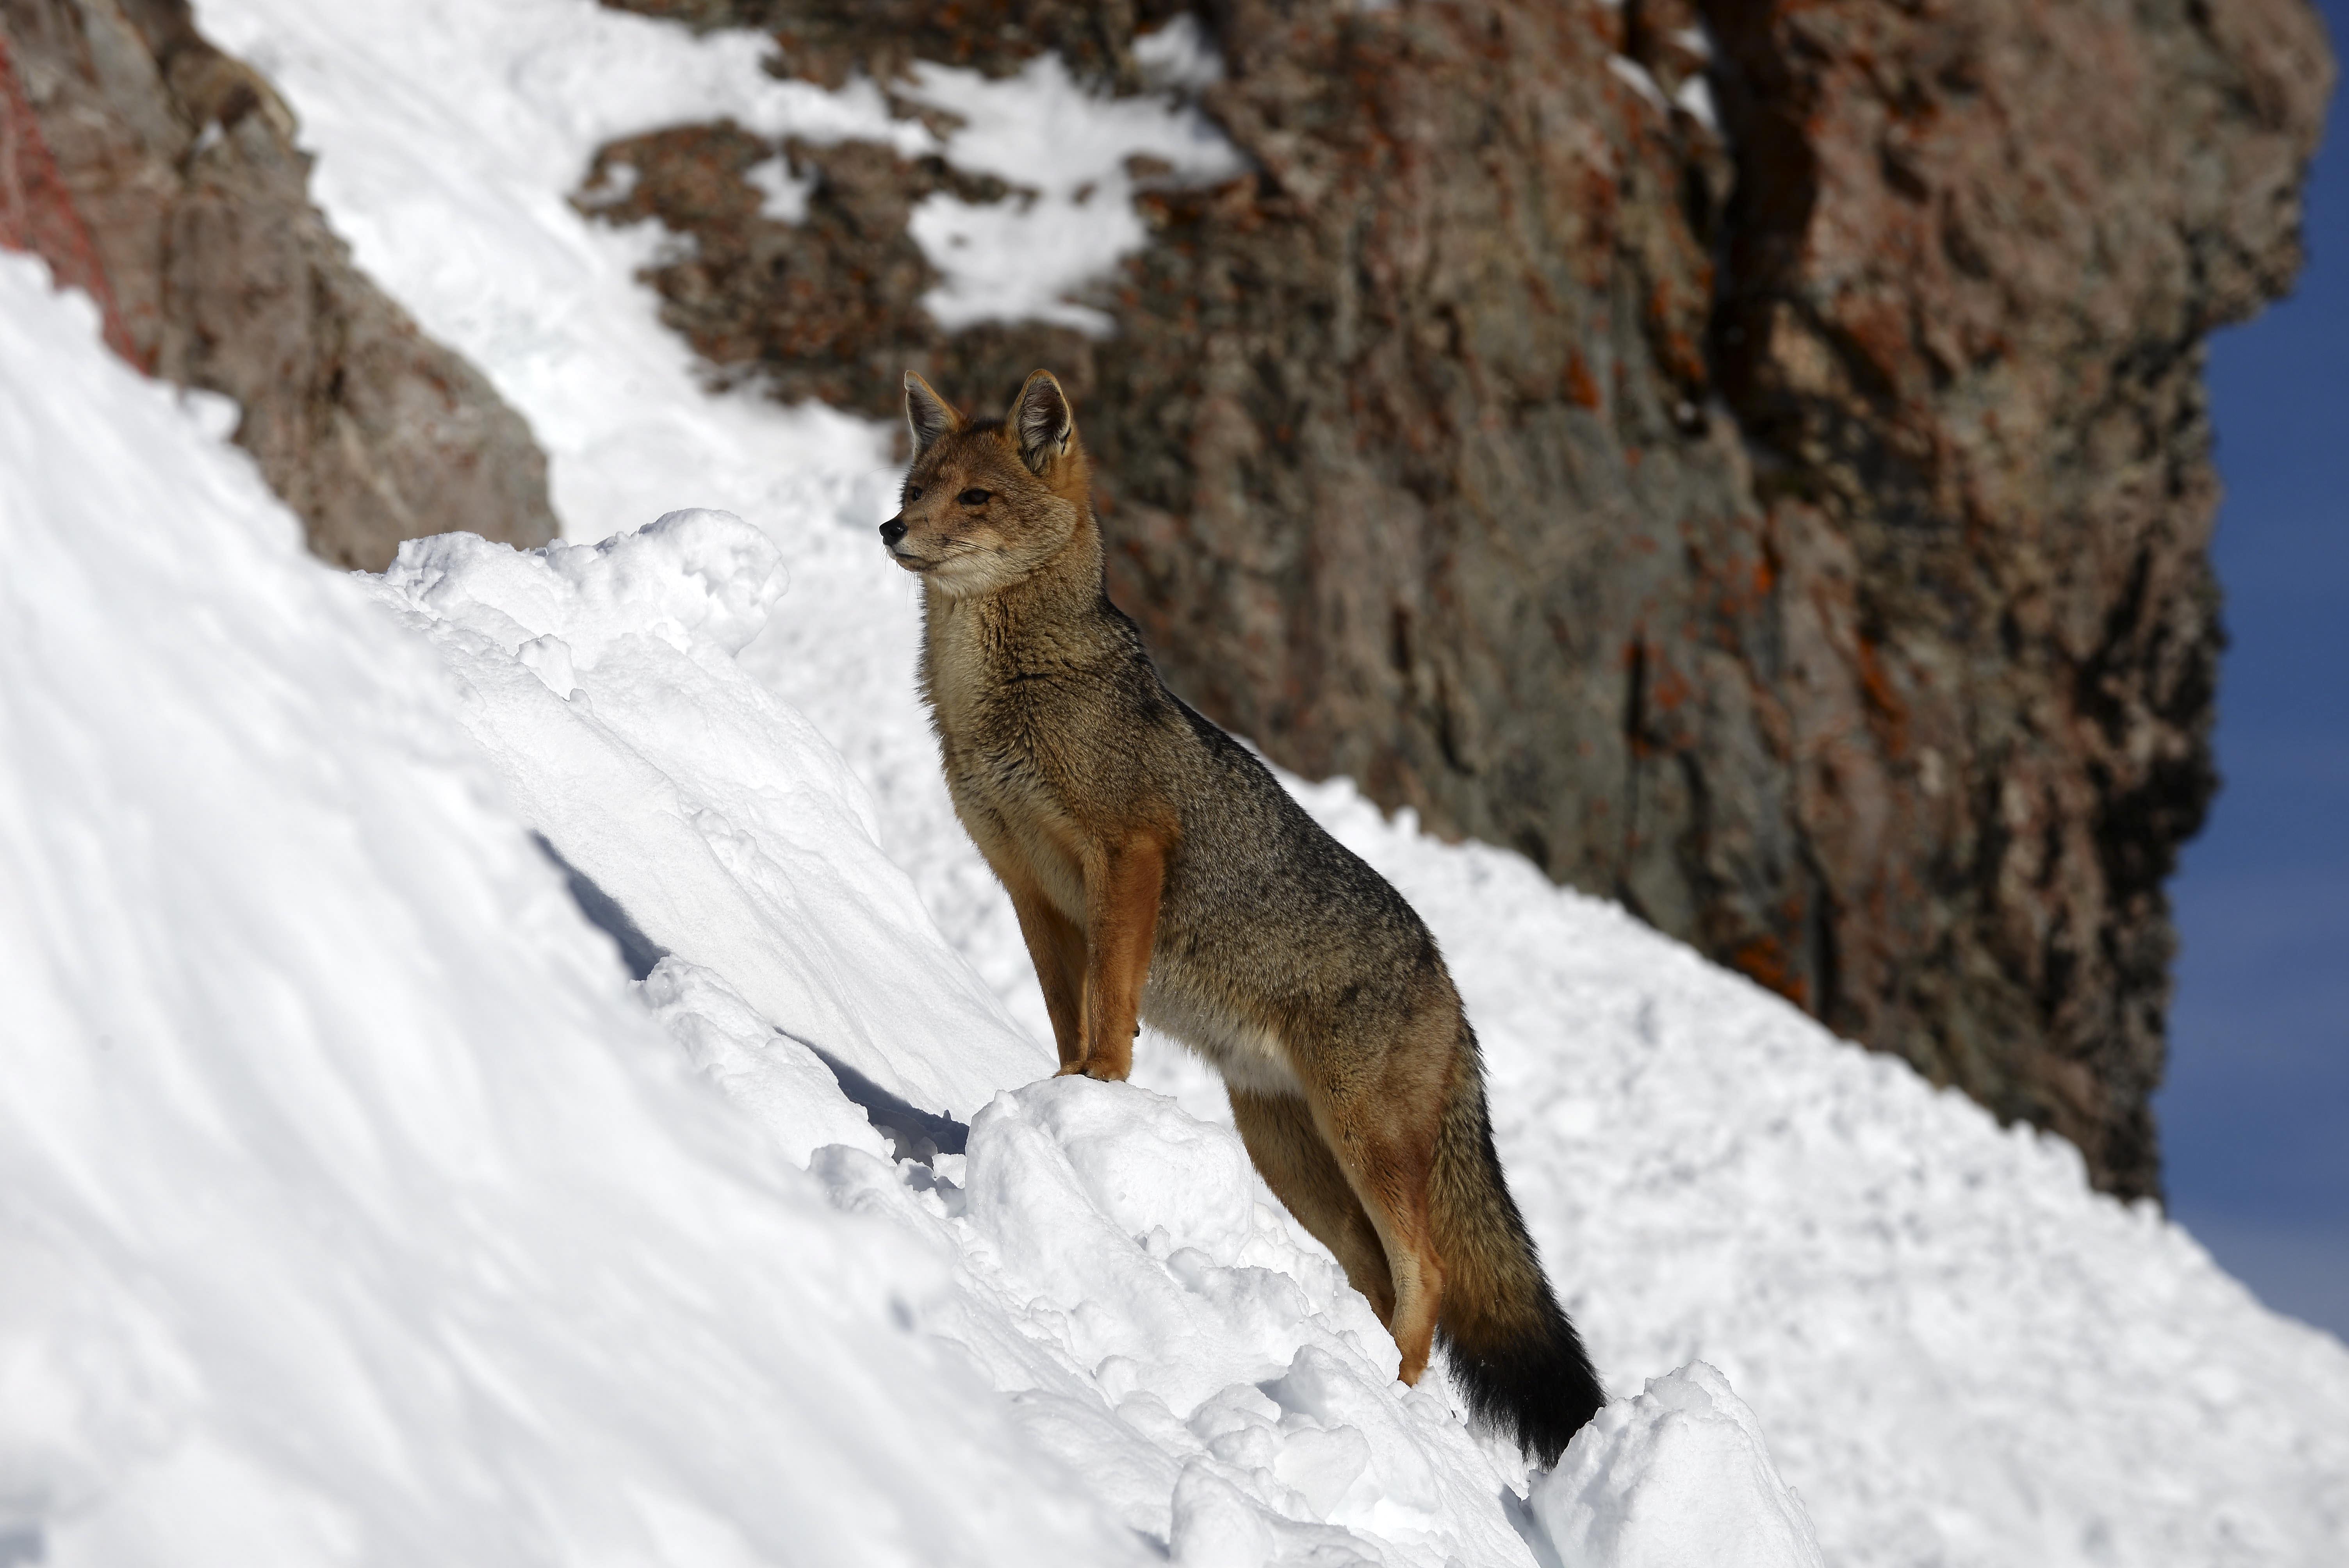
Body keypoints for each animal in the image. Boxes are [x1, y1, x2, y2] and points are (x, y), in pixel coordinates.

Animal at [880, 367, 1607, 1465]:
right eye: (916, 486)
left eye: (974, 499)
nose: (889, 528)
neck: (1004, 699)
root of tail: (1447, 981)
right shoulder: (1031, 888)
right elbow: (1065, 1016)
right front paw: (1063, 1096)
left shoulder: (1126, 856)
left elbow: (1108, 1010)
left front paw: (1098, 1088)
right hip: (1290, 1157)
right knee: (1382, 1276)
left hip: (1358, 1141)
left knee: (1428, 1277)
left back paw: (1391, 1401)